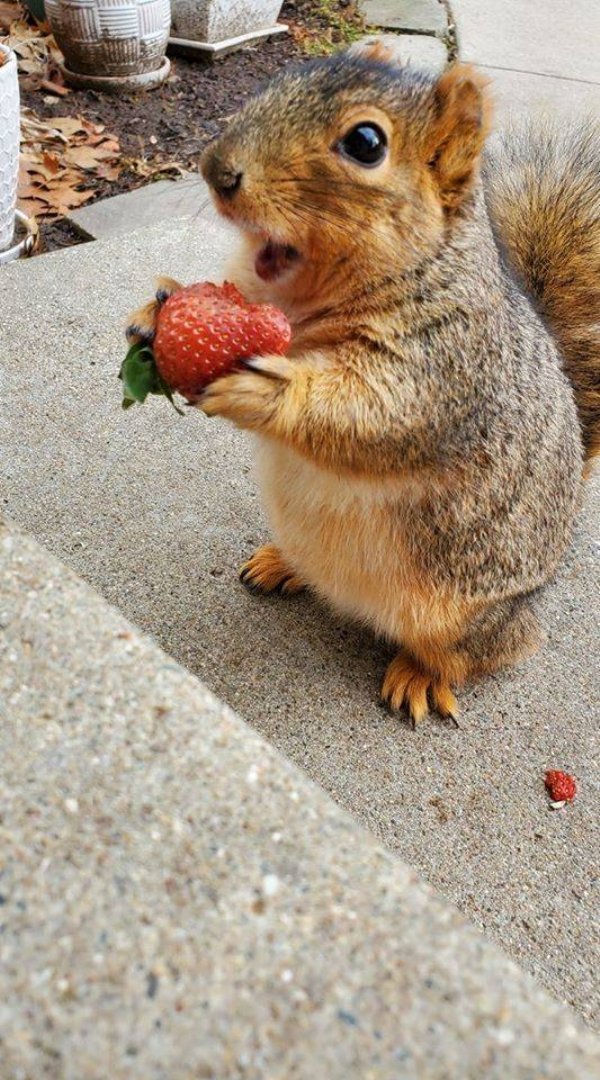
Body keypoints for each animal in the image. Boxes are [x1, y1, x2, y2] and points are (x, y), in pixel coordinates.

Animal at [127, 41, 600, 728]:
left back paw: (421, 676)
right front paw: (156, 306)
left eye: (366, 142)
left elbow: (373, 416)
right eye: (280, 80)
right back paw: (282, 564)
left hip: (464, 612)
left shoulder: (448, 370)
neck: (301, 310)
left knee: (481, 654)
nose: (217, 170)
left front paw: (266, 392)